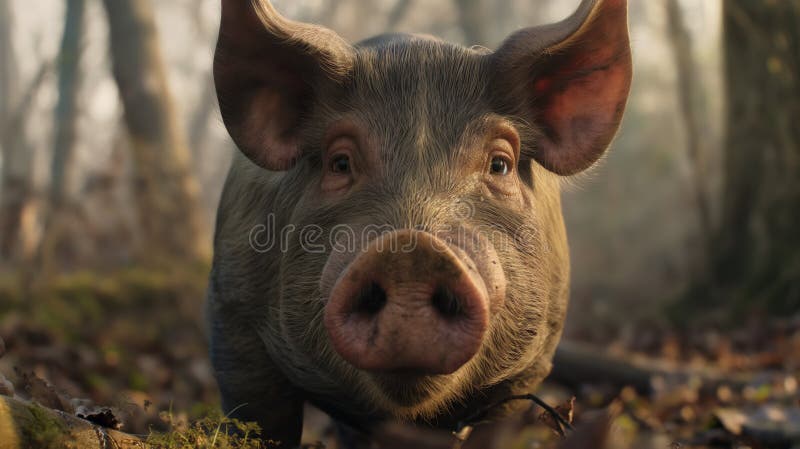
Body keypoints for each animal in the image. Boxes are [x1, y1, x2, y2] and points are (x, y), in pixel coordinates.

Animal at [207, 0, 632, 446]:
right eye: (339, 162)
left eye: (500, 164)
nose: (411, 253)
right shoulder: (232, 316)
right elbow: (261, 417)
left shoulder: (527, 369)